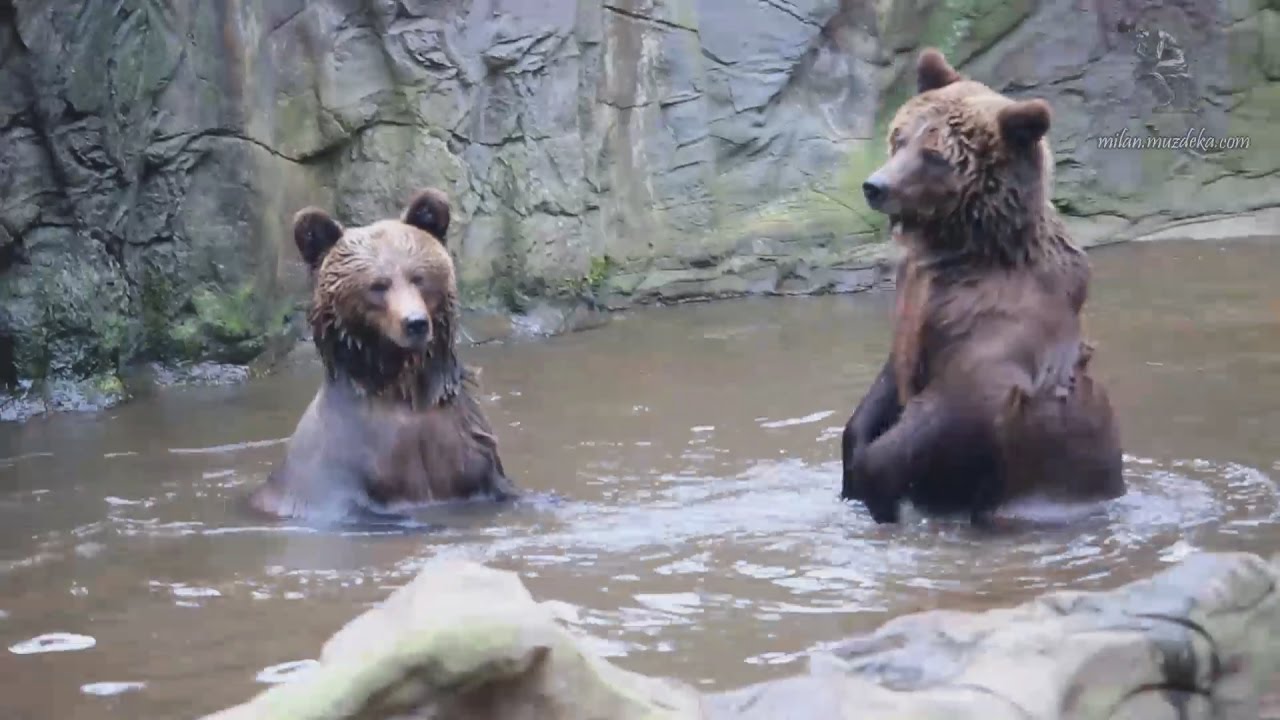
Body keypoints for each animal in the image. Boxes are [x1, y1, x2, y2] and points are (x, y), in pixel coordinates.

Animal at [248, 189, 518, 525]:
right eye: (377, 285)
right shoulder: (342, 469)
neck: (402, 388)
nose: (415, 323)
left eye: (418, 277)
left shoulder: (465, 445)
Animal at [839, 48, 1125, 525]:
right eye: (900, 136)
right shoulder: (917, 307)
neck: (960, 249)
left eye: (934, 153)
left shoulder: (992, 329)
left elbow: (951, 408)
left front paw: (877, 480)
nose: (875, 185)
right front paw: (855, 459)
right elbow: (882, 387)